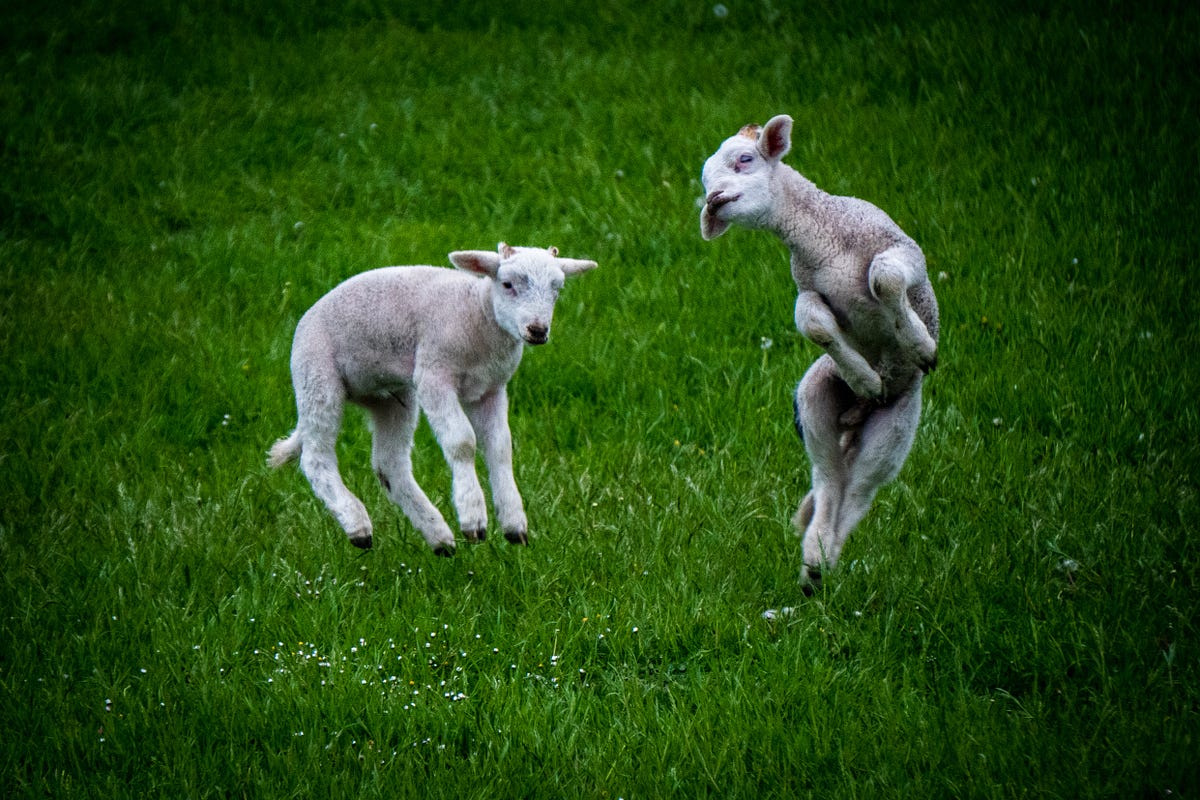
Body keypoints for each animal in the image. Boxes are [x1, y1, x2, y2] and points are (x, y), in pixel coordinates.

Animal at [267, 243, 598, 555]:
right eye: (507, 284)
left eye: (557, 289)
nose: (538, 330)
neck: (478, 312)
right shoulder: (434, 376)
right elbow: (462, 442)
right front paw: (473, 519)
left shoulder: (490, 389)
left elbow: (501, 448)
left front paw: (514, 524)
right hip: (317, 377)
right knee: (316, 457)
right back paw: (358, 525)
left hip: (391, 397)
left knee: (390, 464)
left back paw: (439, 537)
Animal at [700, 114, 939, 591]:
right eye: (704, 179)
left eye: (744, 159)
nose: (713, 201)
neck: (821, 238)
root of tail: (858, 416)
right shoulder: (809, 285)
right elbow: (810, 320)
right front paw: (865, 375)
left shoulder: (902, 249)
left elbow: (884, 278)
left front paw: (919, 343)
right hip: (815, 398)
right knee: (830, 480)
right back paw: (815, 564)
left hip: (899, 420)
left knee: (860, 490)